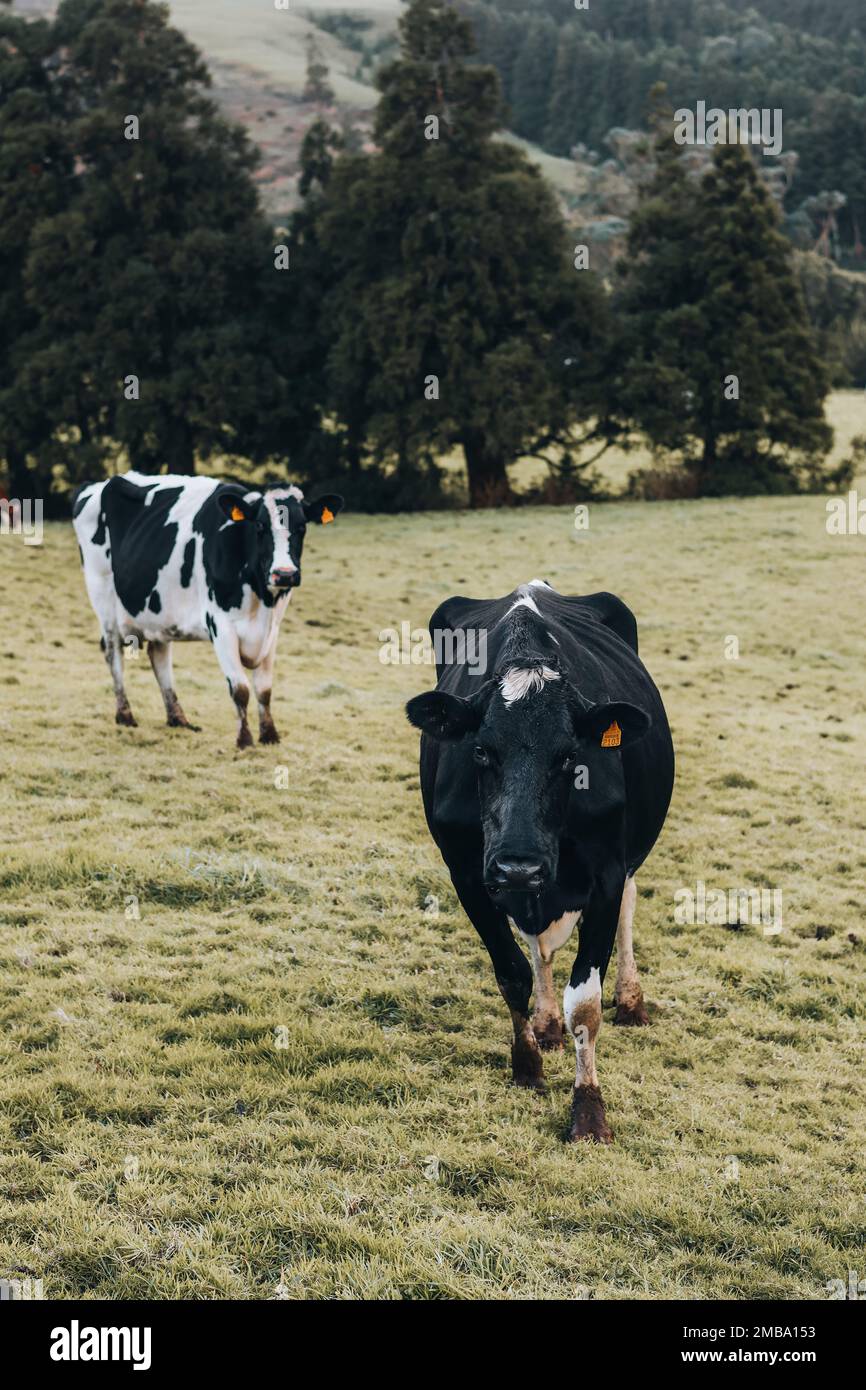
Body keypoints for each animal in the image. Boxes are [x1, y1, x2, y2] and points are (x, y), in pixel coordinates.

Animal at [72, 471, 343, 747]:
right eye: (259, 526)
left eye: (302, 527)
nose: (284, 574)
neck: (262, 599)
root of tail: (99, 484)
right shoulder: (220, 626)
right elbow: (240, 688)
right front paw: (245, 740)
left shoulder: (272, 629)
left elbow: (264, 689)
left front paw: (269, 735)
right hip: (104, 600)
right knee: (113, 653)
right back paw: (125, 715)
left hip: (160, 611)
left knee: (159, 655)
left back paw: (178, 718)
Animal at [406, 580, 674, 1143]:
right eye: (480, 750)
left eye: (569, 755)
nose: (519, 866)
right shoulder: (469, 873)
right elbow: (512, 971)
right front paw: (527, 1063)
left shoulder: (606, 873)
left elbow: (586, 1002)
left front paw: (588, 1111)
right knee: (538, 946)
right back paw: (546, 1023)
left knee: (628, 907)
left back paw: (631, 999)